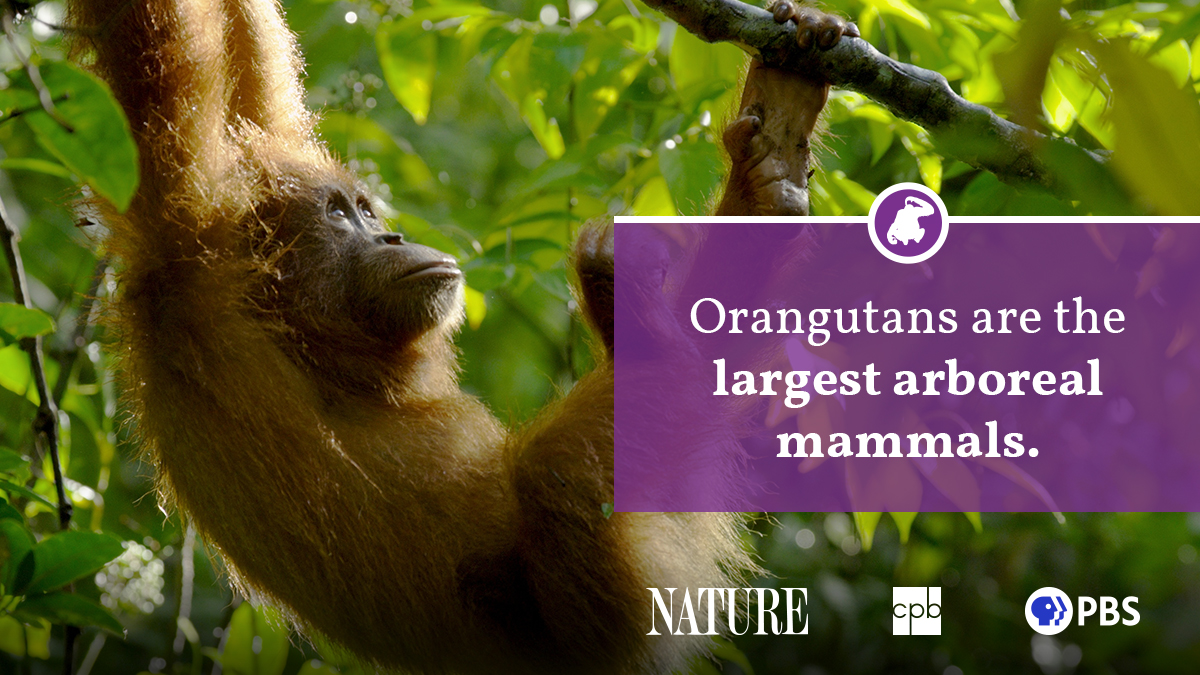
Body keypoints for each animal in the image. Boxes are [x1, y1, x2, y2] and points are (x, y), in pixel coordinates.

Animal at [66, 0, 852, 672]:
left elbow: (257, 85)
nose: (391, 233)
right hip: (611, 618)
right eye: (341, 217)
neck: (305, 341)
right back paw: (643, 299)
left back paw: (772, 156)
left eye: (364, 208)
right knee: (558, 468)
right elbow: (166, 66)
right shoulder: (190, 239)